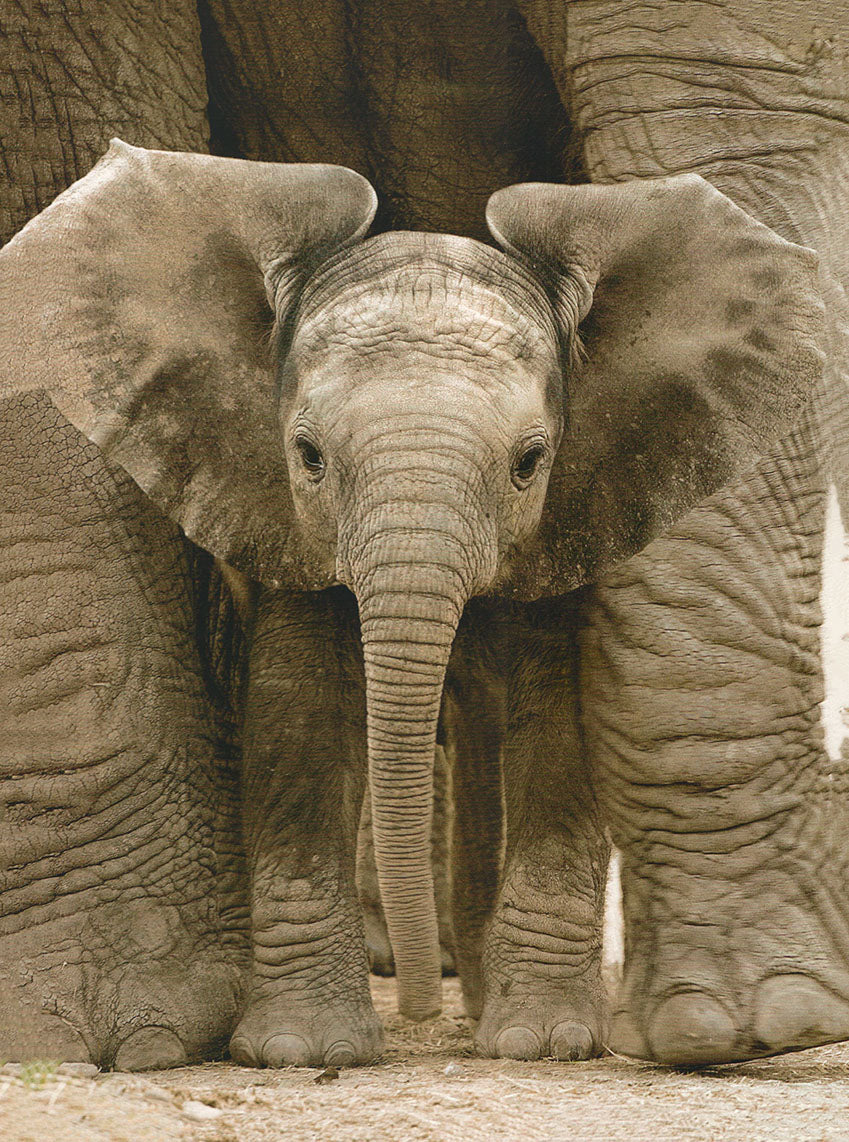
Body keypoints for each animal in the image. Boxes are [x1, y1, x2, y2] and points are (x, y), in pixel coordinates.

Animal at [2, 0, 849, 1073]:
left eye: (530, 461)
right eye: (307, 455)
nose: (411, 1013)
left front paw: (681, 1032)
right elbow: (299, 702)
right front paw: (278, 1050)